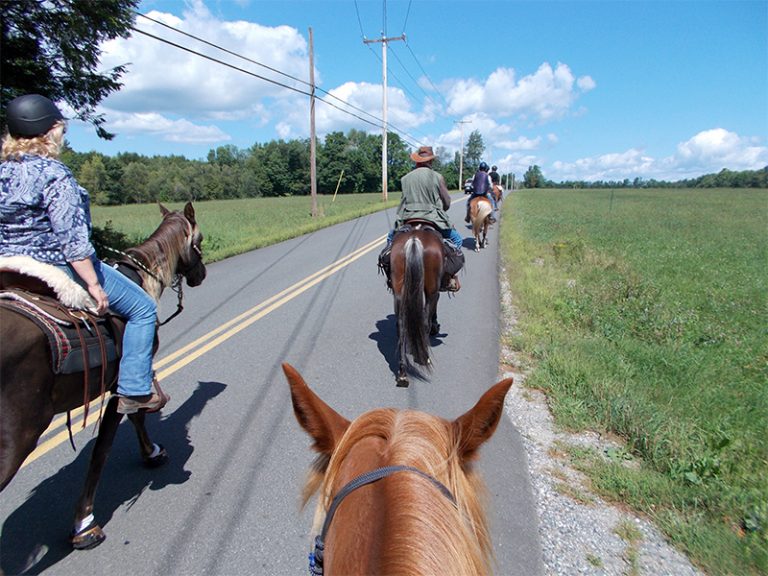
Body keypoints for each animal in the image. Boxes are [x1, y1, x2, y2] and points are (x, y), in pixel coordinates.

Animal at [0, 202, 206, 550]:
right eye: (199, 239)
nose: (200, 275)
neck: (142, 279)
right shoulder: (121, 383)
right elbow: (104, 448)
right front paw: (84, 524)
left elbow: (135, 418)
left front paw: (151, 453)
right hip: (15, 439)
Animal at [389, 222, 445, 387]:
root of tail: (414, 240)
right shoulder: (434, 291)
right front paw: (435, 326)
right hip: (432, 288)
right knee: (424, 321)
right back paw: (424, 357)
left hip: (399, 290)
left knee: (401, 324)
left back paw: (402, 374)